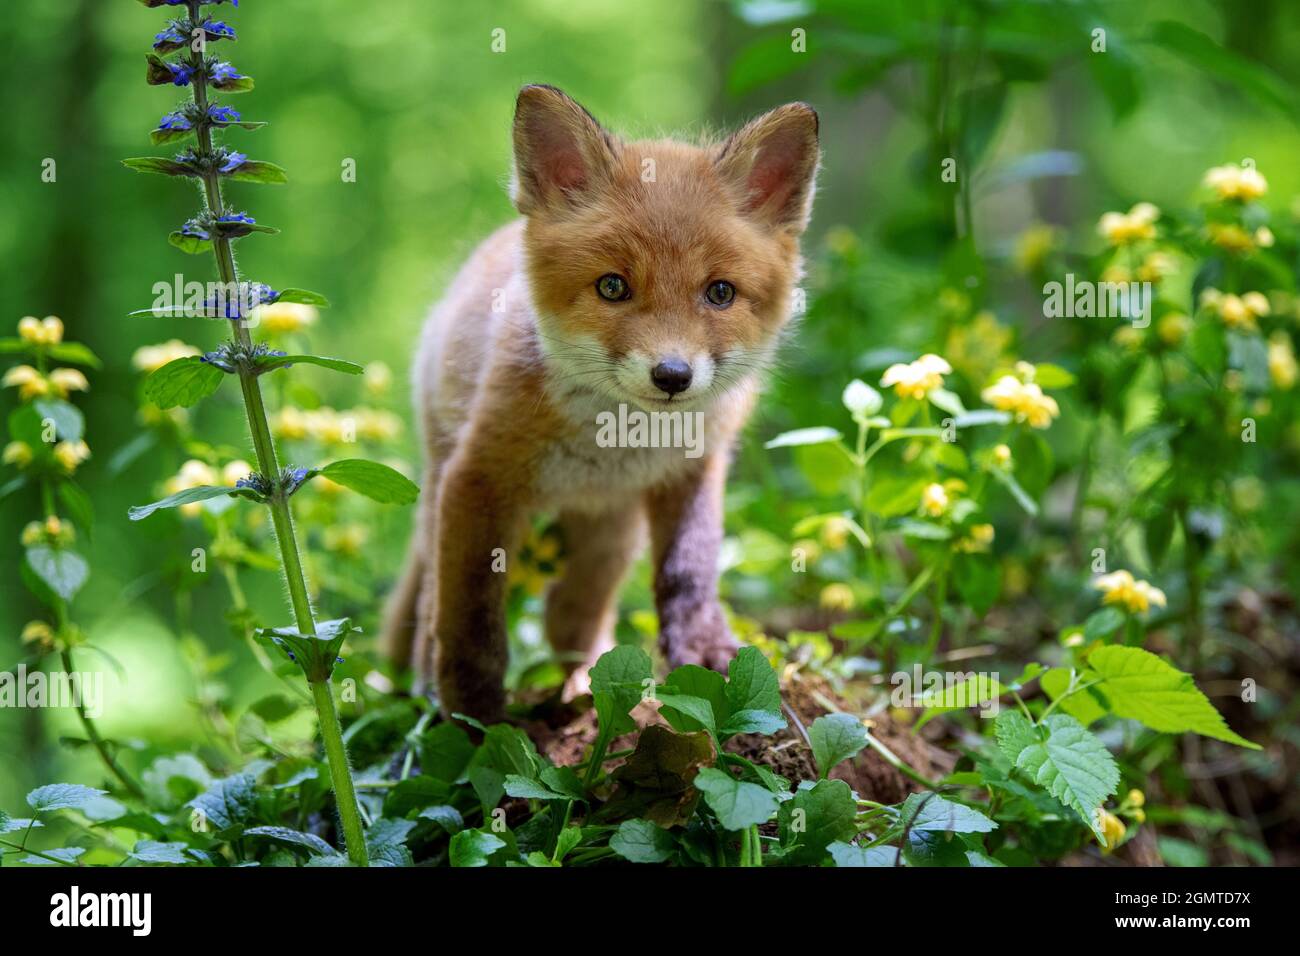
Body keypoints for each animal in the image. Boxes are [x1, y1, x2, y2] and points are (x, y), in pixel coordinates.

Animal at [382, 85, 819, 723]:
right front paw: (474, 717)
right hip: (443, 483)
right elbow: (469, 618)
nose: (672, 375)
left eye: (720, 293)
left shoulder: (693, 471)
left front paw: (705, 655)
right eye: (613, 286)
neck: (616, 443)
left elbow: (687, 574)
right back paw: (413, 683)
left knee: (574, 617)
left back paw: (585, 688)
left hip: (608, 537)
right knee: (425, 603)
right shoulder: (477, 478)